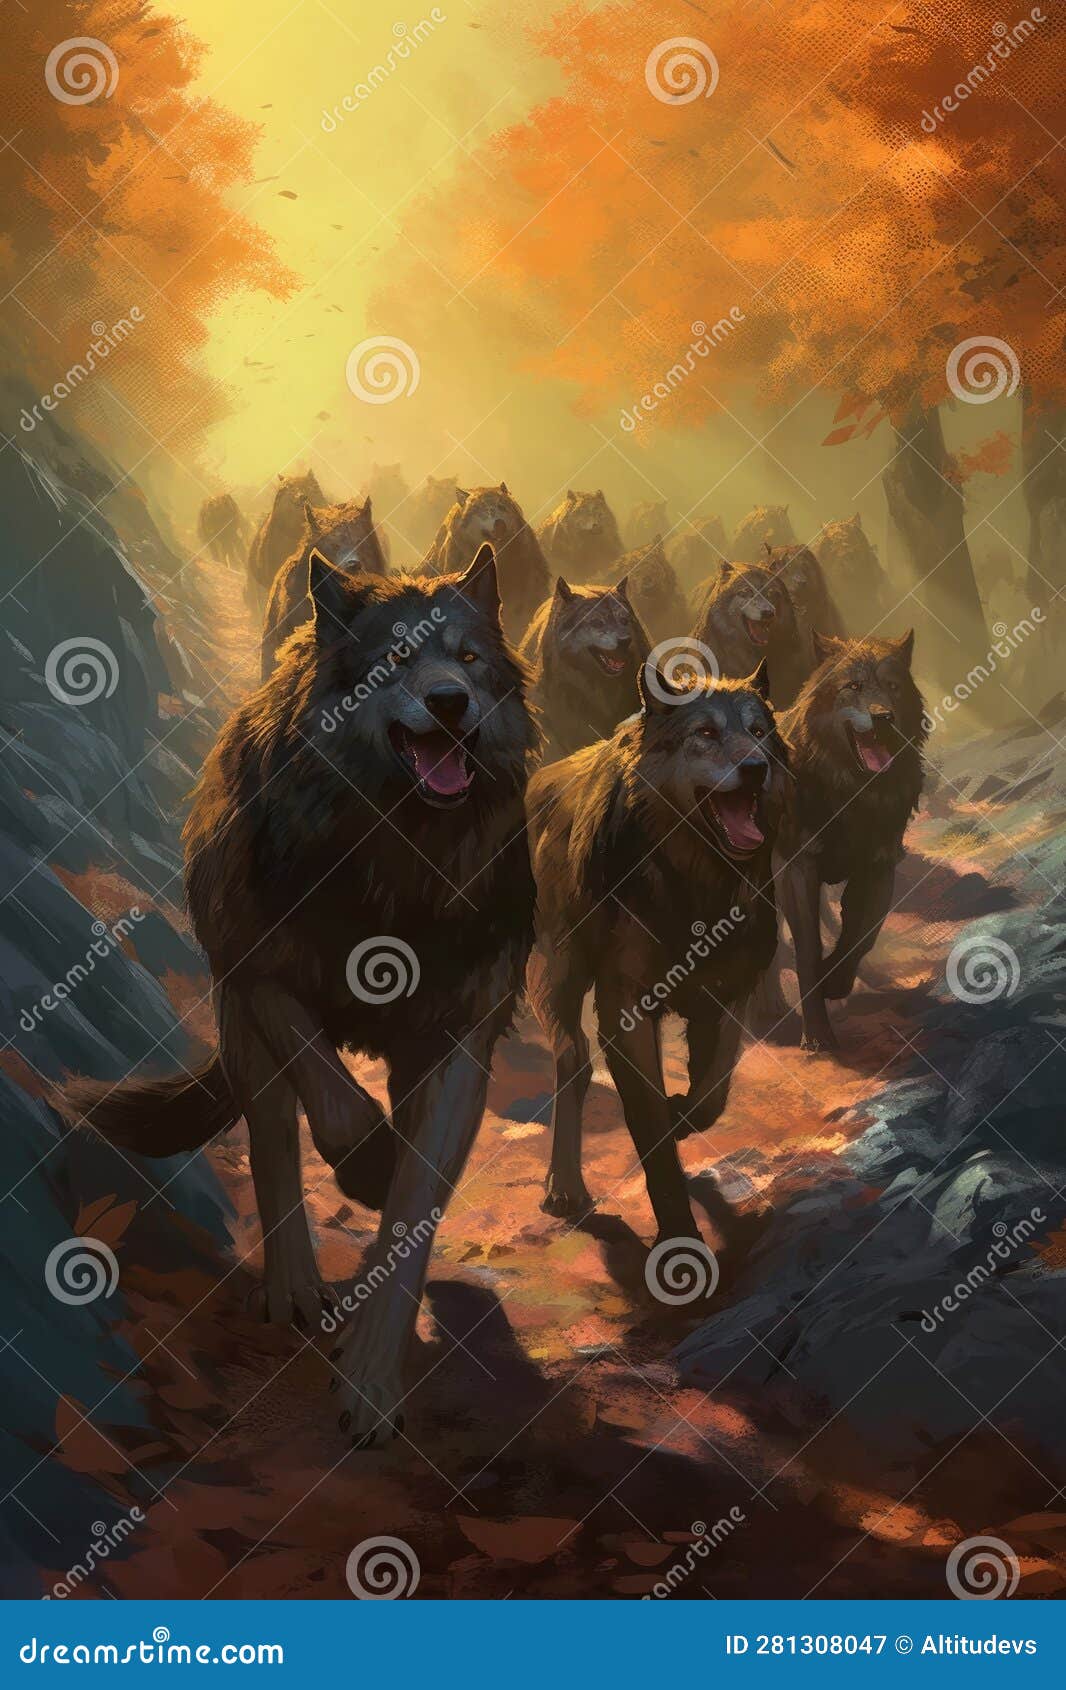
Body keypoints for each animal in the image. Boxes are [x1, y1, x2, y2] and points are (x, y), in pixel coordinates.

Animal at [64, 546, 537, 1447]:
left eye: (467, 660)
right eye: (396, 661)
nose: (451, 703)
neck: (396, 870)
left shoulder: (460, 1045)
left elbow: (414, 1216)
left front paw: (372, 1380)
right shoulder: (262, 978)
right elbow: (338, 1113)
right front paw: (368, 1166)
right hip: (238, 1016)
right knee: (274, 1140)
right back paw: (293, 1290)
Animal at [526, 663, 786, 1244]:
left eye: (758, 732)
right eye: (706, 733)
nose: (756, 768)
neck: (695, 890)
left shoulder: (729, 991)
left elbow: (713, 1089)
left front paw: (681, 1111)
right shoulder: (623, 1009)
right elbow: (651, 1134)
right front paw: (678, 1237)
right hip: (557, 972)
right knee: (572, 1058)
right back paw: (564, 1186)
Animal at [774, 630, 925, 1051]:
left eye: (893, 687)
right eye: (854, 687)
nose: (883, 717)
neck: (852, 794)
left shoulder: (879, 866)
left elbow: (863, 934)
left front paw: (836, 983)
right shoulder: (796, 868)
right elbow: (808, 950)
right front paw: (817, 1034)